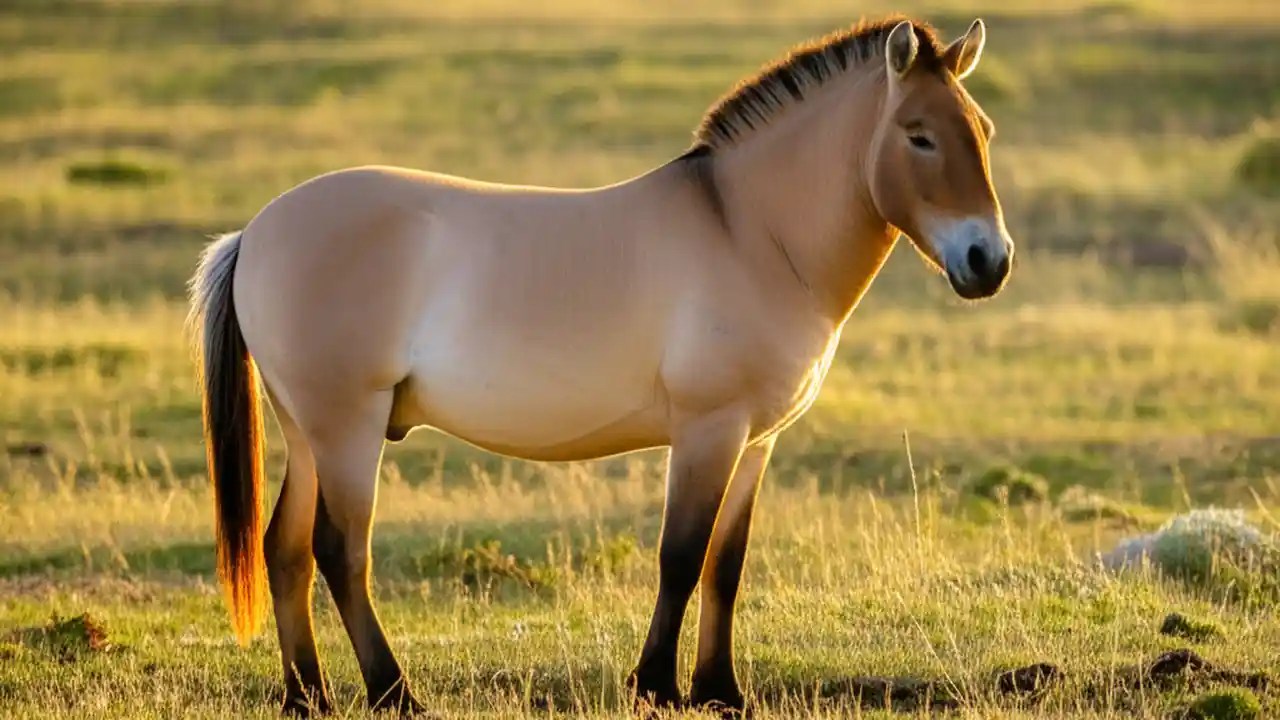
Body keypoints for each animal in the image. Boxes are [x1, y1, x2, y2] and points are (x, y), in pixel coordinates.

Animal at [188, 15, 1012, 717]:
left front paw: (721, 691)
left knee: (286, 551)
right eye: (918, 137)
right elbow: (681, 555)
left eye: (983, 130)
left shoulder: (756, 441)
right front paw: (658, 686)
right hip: (346, 428)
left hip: (308, 433)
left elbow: (726, 563)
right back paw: (396, 694)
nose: (989, 261)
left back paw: (309, 698)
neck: (750, 232)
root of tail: (255, 233)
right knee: (339, 550)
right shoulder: (709, 431)